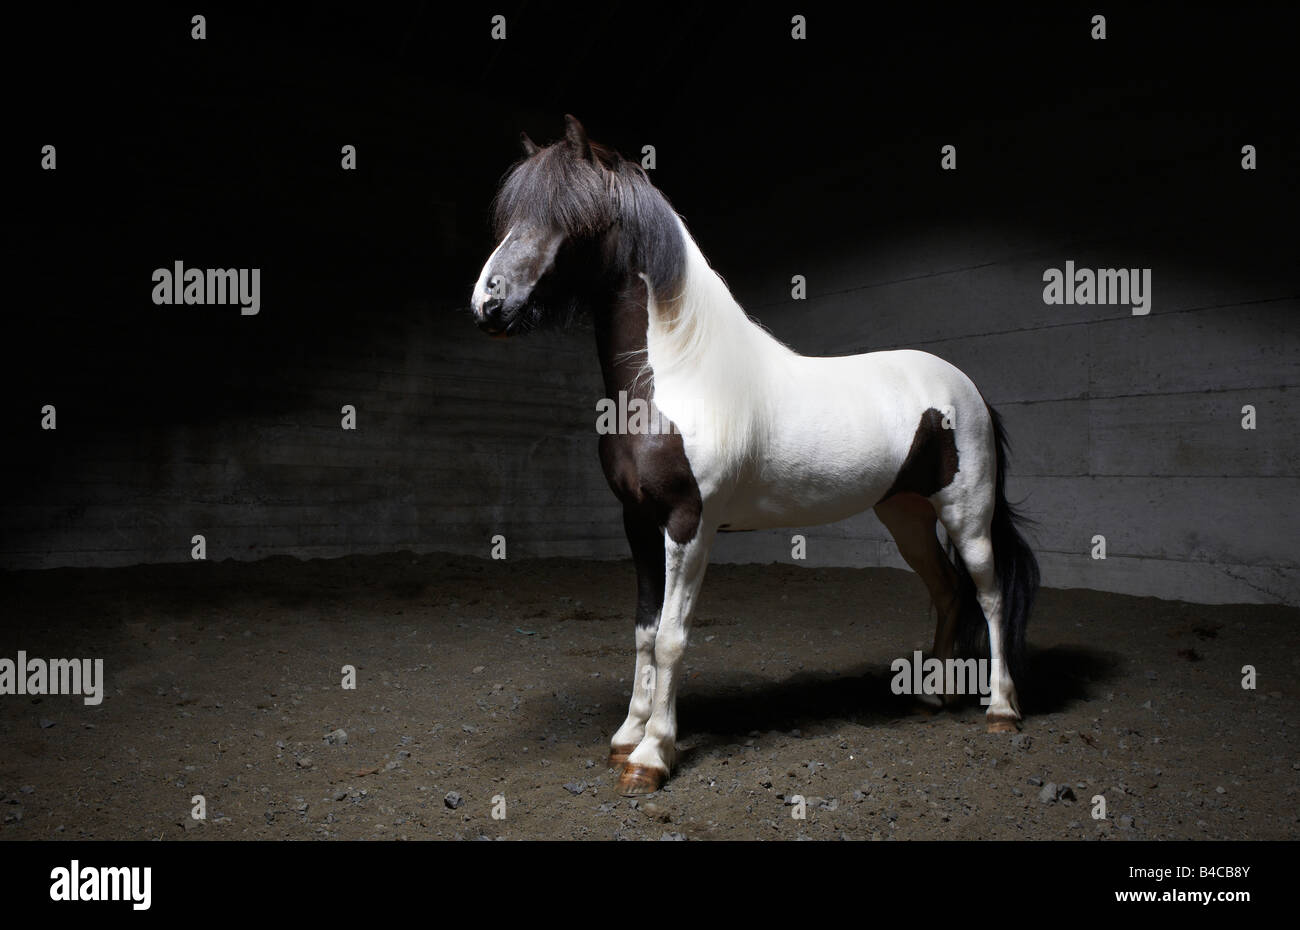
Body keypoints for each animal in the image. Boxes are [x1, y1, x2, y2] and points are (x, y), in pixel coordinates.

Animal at [469, 115, 1040, 796]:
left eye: (572, 217)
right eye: (510, 216)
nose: (489, 303)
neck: (676, 377)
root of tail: (966, 387)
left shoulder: (689, 524)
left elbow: (671, 637)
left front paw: (653, 755)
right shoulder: (637, 522)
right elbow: (642, 631)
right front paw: (627, 735)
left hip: (967, 516)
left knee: (989, 594)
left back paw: (1001, 709)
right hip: (904, 515)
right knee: (949, 592)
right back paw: (931, 697)